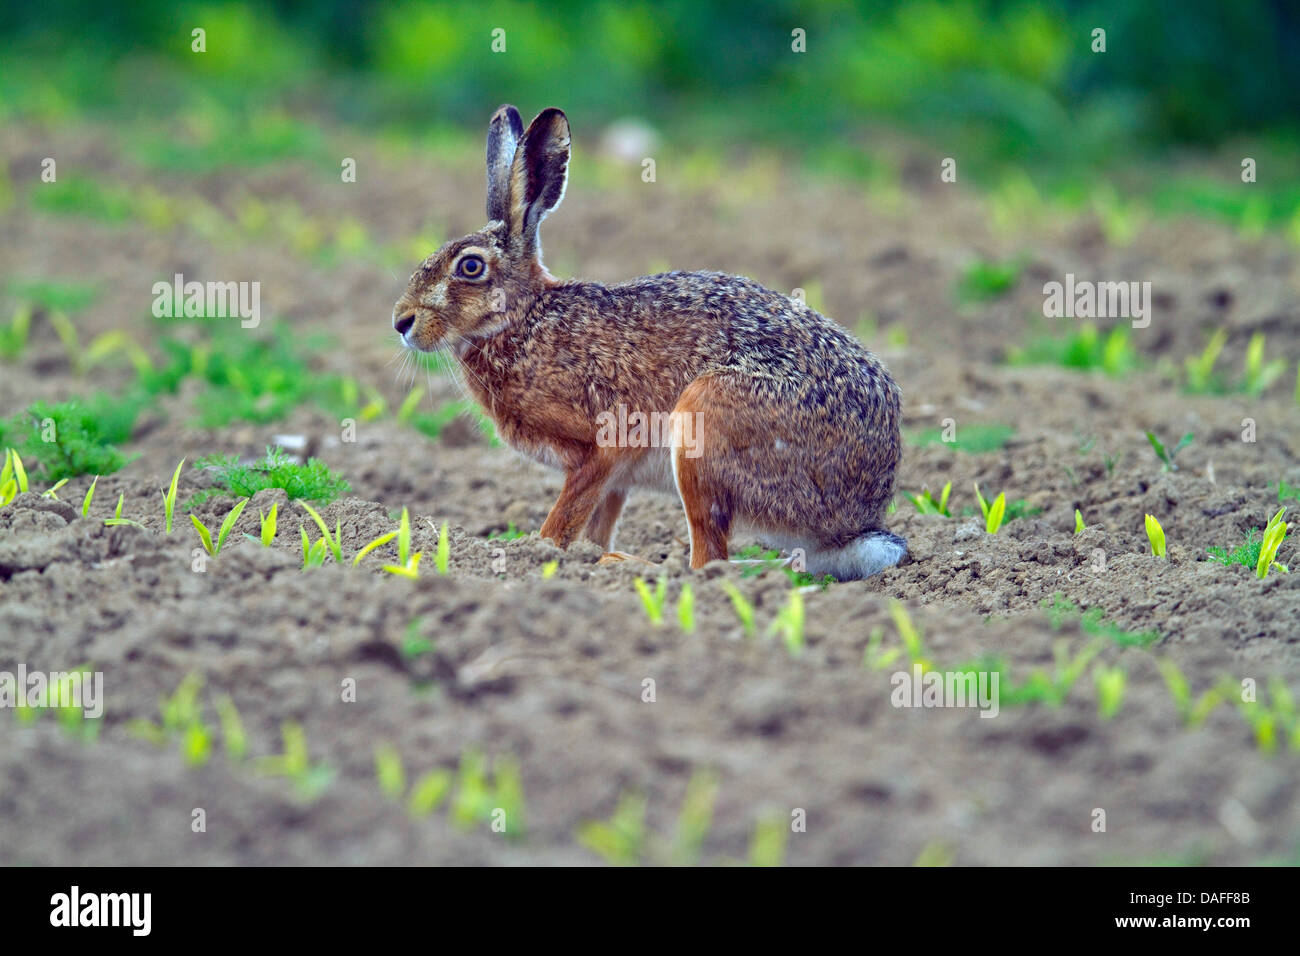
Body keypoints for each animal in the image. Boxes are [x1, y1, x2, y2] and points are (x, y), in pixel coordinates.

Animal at [391, 105, 906, 579]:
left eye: (470, 267)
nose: (401, 321)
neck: (523, 319)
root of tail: (852, 522)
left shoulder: (603, 443)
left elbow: (563, 521)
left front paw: (540, 553)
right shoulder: (614, 480)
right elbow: (596, 522)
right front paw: (584, 555)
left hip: (706, 422)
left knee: (708, 561)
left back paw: (635, 566)